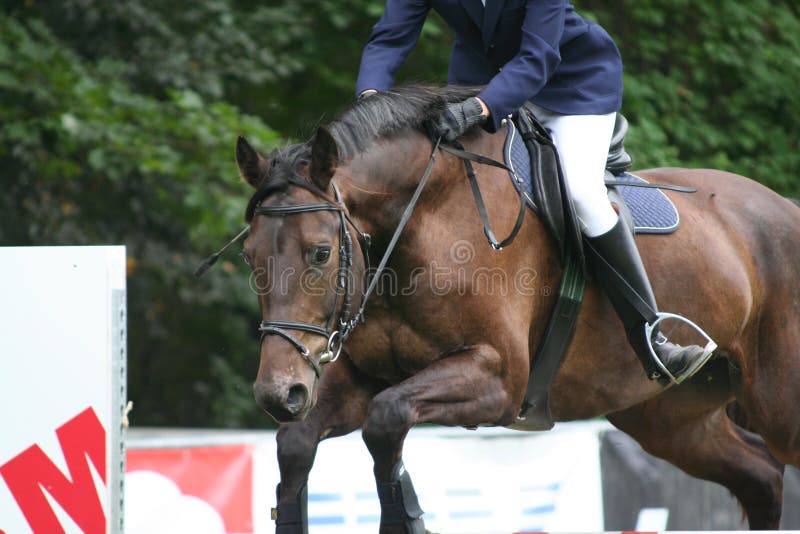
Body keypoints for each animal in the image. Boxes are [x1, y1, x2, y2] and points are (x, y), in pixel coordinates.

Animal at [233, 86, 799, 533]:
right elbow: (298, 442)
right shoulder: (364, 377)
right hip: (669, 418)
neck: (421, 222)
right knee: (761, 477)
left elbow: (387, 422)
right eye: (250, 257)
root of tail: (784, 207)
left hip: (777, 404)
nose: (278, 393)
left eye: (320, 253)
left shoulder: (498, 379)